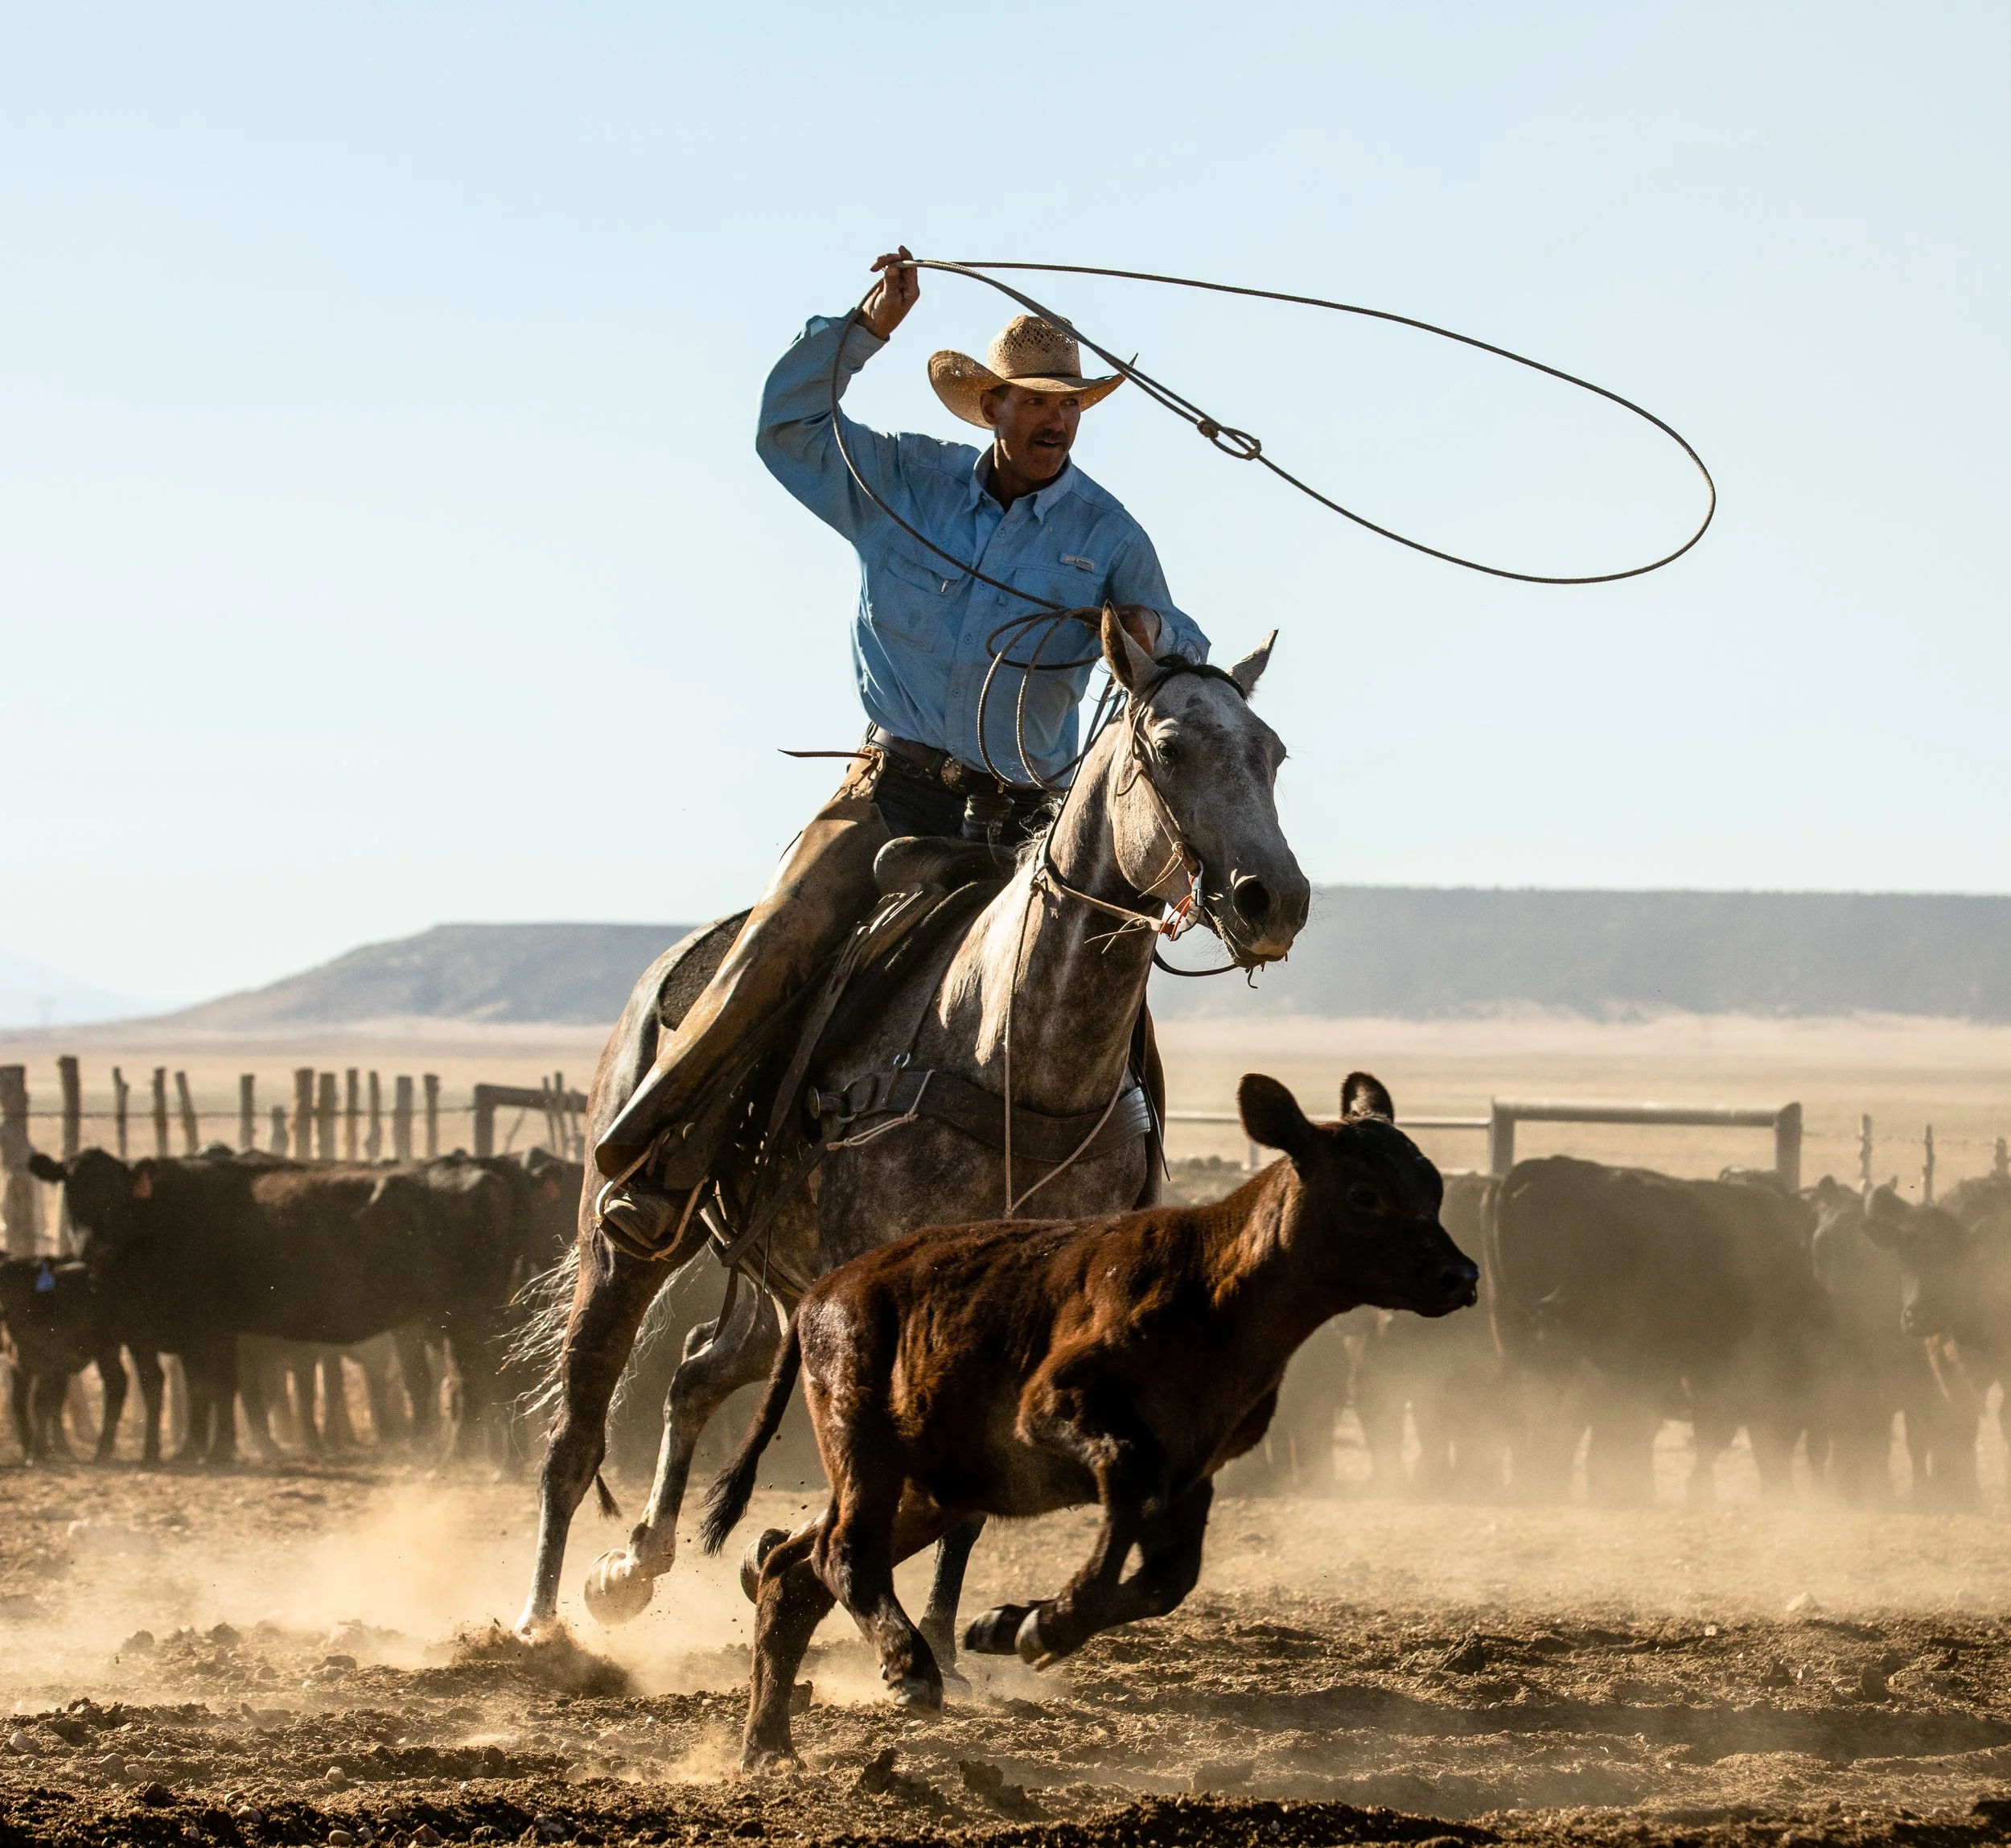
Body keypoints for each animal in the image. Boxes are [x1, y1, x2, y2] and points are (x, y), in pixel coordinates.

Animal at [515, 610, 1310, 1647]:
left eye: (1272, 753)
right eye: (1170, 747)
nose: (1274, 898)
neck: (1008, 1049)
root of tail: (675, 968)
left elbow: (971, 1489)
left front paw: (936, 1634)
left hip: (779, 1282)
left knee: (694, 1372)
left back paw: (636, 1563)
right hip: (626, 1238)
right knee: (579, 1420)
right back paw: (538, 1619)